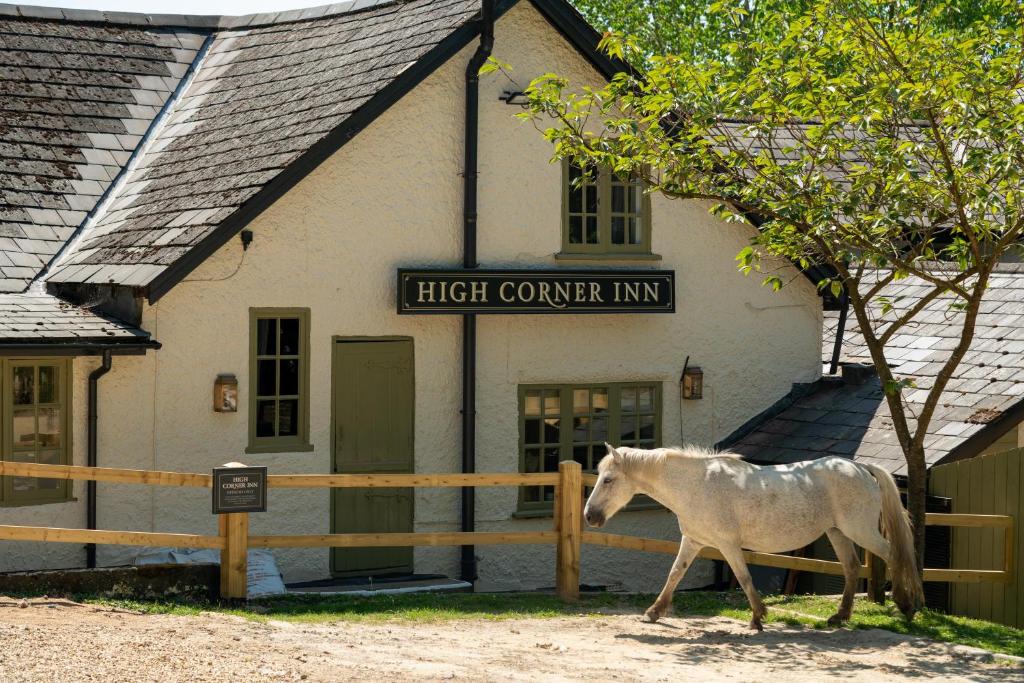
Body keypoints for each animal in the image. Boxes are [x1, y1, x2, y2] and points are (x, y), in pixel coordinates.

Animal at [581, 446, 925, 634]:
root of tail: (860, 467)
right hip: (838, 533)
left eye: (608, 480)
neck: (696, 485)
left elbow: (744, 578)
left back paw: (906, 605)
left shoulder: (727, 545)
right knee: (853, 568)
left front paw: (758, 618)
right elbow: (674, 574)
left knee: (894, 555)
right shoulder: (693, 541)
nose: (590, 516)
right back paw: (840, 616)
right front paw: (653, 612)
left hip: (860, 530)